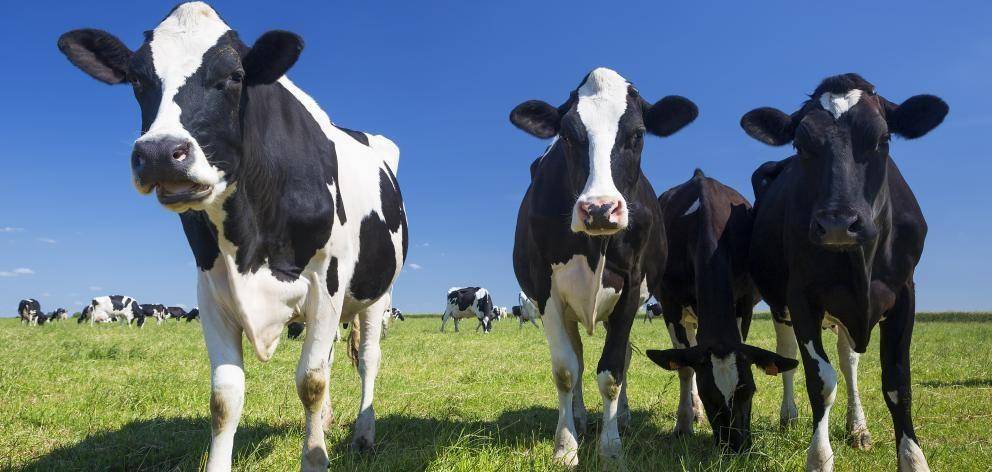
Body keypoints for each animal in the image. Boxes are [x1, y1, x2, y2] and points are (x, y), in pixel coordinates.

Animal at [58, 3, 408, 469]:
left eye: (235, 76)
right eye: (137, 78)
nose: (159, 153)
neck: (249, 241)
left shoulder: (325, 283)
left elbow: (311, 381)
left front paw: (315, 457)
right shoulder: (211, 290)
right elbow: (225, 396)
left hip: (376, 294)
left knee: (368, 359)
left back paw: (363, 435)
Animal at [509, 67, 696, 467]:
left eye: (638, 134)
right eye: (566, 135)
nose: (598, 209)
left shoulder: (631, 286)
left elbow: (612, 372)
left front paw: (611, 450)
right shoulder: (545, 288)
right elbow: (566, 370)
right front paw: (566, 446)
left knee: (622, 357)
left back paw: (623, 417)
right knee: (578, 356)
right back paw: (579, 417)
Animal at [644, 169, 797, 450]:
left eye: (749, 390)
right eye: (709, 396)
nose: (735, 445)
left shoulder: (744, 302)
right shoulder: (670, 306)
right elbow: (685, 368)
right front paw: (683, 423)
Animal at [740, 73, 947, 471]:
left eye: (883, 139)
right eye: (801, 143)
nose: (838, 223)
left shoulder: (904, 293)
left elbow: (897, 381)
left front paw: (913, 458)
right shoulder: (801, 297)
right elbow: (820, 380)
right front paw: (819, 457)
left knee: (849, 362)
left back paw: (858, 428)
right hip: (781, 305)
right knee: (788, 355)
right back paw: (789, 417)